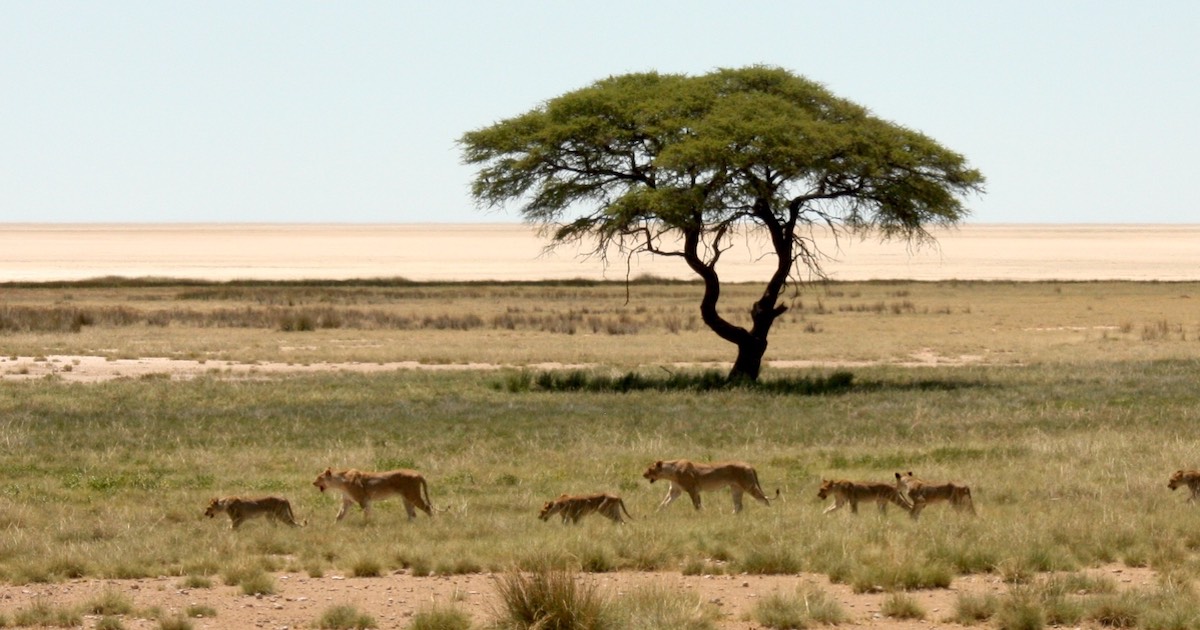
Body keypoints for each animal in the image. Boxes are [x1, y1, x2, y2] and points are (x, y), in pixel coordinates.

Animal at [642, 459, 778, 513]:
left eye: (650, 469)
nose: (643, 474)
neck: (670, 473)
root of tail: (750, 465)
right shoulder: (675, 491)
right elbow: (664, 503)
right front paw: (657, 513)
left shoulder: (692, 489)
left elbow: (697, 504)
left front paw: (701, 514)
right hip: (736, 489)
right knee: (739, 506)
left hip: (749, 485)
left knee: (764, 499)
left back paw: (769, 512)